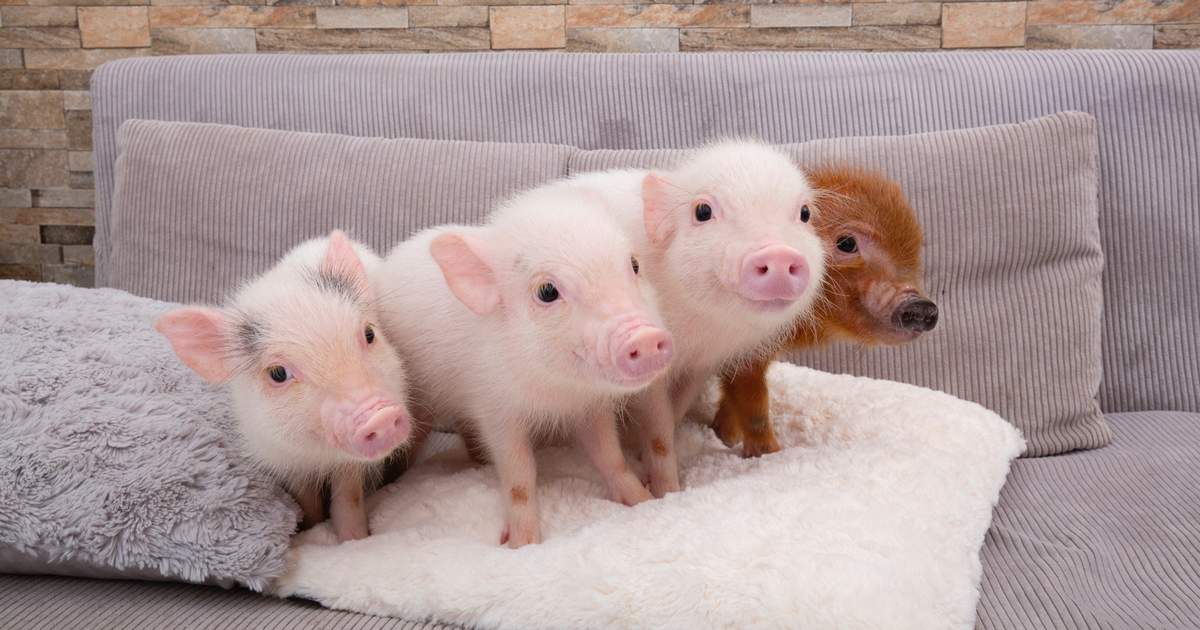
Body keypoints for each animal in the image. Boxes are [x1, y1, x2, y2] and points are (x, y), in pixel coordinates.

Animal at [155, 231, 426, 542]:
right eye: (278, 373)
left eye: (369, 334)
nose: (379, 415)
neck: (319, 455)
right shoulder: (282, 456)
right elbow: (304, 498)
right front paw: (308, 529)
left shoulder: (350, 465)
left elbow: (349, 497)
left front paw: (354, 540)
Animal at [373, 185, 672, 548]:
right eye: (547, 291)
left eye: (634, 265)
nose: (645, 336)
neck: (557, 394)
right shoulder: (496, 409)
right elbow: (519, 475)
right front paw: (522, 544)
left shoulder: (590, 407)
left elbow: (609, 454)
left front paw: (644, 500)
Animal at [559, 140, 827, 496]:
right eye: (703, 211)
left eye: (804, 213)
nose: (779, 254)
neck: (701, 329)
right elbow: (659, 428)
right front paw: (665, 491)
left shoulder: (701, 365)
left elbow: (676, 410)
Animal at [713, 164, 937, 456]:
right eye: (847, 243)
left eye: (915, 249)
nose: (921, 305)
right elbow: (754, 405)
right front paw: (770, 454)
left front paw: (723, 436)